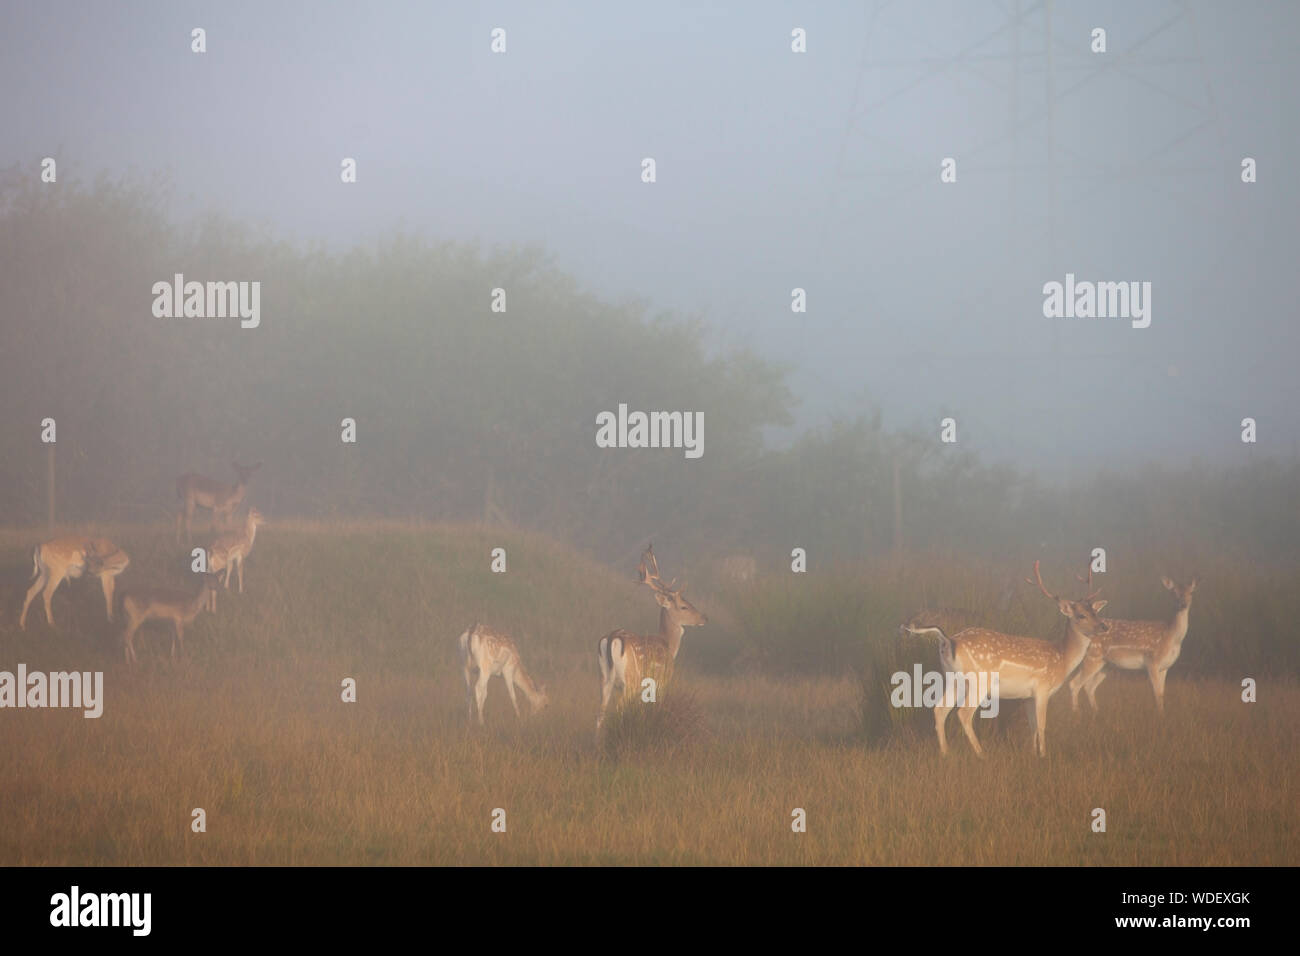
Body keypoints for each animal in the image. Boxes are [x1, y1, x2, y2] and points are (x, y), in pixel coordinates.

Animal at [596, 545, 708, 736]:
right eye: (684, 606)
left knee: (599, 716)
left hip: (605, 679)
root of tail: (612, 638)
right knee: (617, 710)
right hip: (631, 679)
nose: (704, 618)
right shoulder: (662, 680)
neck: (668, 645)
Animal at [902, 561, 1110, 757]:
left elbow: (1033, 726)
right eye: (1081, 615)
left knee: (939, 710)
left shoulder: (1027, 696)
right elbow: (1042, 725)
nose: (1104, 626)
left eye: (1096, 612)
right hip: (979, 680)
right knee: (963, 713)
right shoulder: (1042, 688)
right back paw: (981, 754)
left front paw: (1032, 753)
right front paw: (1044, 755)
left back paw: (946, 754)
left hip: (953, 679)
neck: (1062, 659)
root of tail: (948, 640)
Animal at [1068, 568, 1199, 716]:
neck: (1172, 637)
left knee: (1089, 686)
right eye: (1174, 593)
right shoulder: (1152, 662)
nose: (1183, 604)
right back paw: (1076, 714)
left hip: (1104, 664)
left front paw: (1162, 714)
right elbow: (1156, 693)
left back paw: (1096, 712)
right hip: (1092, 657)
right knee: (1074, 683)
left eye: (1191, 592)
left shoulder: (1165, 667)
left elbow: (1161, 693)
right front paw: (1160, 716)